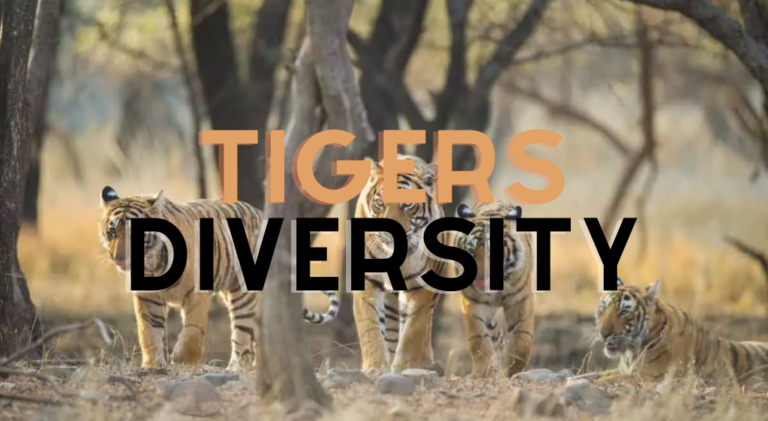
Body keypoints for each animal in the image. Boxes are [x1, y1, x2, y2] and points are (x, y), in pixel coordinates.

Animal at [98, 186, 339, 372]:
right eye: (112, 232)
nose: (118, 257)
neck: (153, 265)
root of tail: (261, 214)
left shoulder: (195, 293)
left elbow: (193, 329)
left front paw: (182, 360)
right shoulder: (147, 298)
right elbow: (148, 331)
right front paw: (153, 365)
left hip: (243, 294)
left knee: (242, 336)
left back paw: (236, 368)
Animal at [352, 154, 456, 373]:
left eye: (407, 204)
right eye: (380, 203)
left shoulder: (422, 285)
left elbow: (414, 327)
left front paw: (407, 365)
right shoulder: (368, 281)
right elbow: (370, 326)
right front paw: (375, 367)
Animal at [454, 199, 535, 378]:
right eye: (471, 251)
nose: (480, 278)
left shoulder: (520, 300)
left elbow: (521, 339)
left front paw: (513, 371)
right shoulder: (473, 303)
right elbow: (480, 341)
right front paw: (485, 372)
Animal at [573, 276, 768, 389]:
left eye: (623, 312)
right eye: (603, 309)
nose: (603, 333)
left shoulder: (649, 376)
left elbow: (603, 380)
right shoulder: (623, 369)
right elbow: (589, 375)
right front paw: (576, 380)